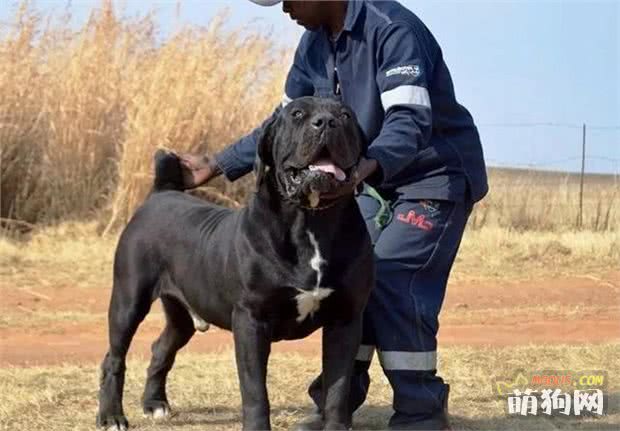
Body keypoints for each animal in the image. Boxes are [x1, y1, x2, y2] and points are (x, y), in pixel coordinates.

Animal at [95, 98, 372, 431]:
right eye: (297, 114)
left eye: (345, 116)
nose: (327, 123)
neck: (311, 221)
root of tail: (160, 193)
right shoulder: (251, 320)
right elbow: (255, 391)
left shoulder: (345, 319)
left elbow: (337, 390)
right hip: (128, 299)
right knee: (114, 357)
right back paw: (112, 416)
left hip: (181, 315)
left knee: (161, 347)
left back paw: (155, 404)